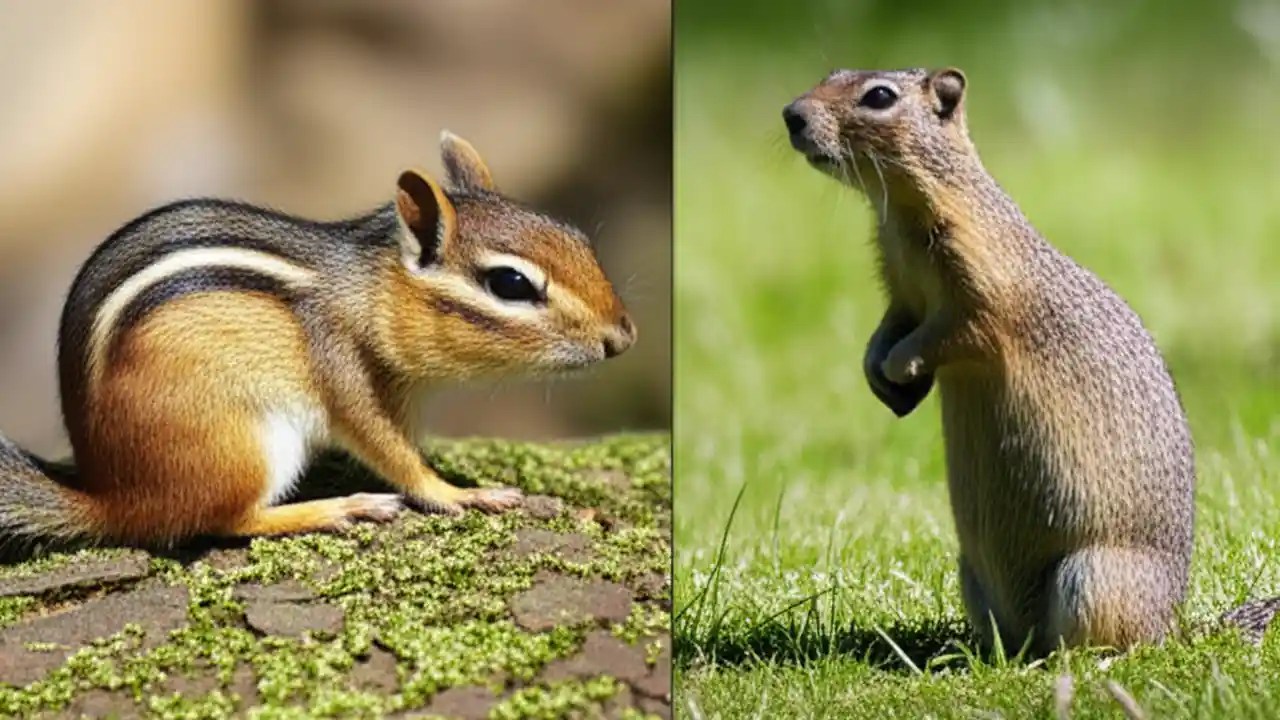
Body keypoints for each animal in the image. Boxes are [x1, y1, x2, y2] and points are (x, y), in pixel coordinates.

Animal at [0, 131, 636, 548]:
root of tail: (112, 497)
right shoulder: (343, 366)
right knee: (222, 521)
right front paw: (459, 494)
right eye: (510, 283)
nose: (622, 338)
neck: (371, 292)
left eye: (577, 236)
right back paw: (337, 509)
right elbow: (388, 451)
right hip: (244, 442)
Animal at [783, 67, 1279, 654]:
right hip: (971, 574)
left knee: (1115, 644)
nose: (791, 115)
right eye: (830, 75)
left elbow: (952, 332)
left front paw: (902, 368)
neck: (903, 211)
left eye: (879, 96)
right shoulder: (901, 290)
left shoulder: (981, 290)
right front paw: (877, 372)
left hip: (1091, 576)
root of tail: (1177, 626)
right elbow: (889, 326)